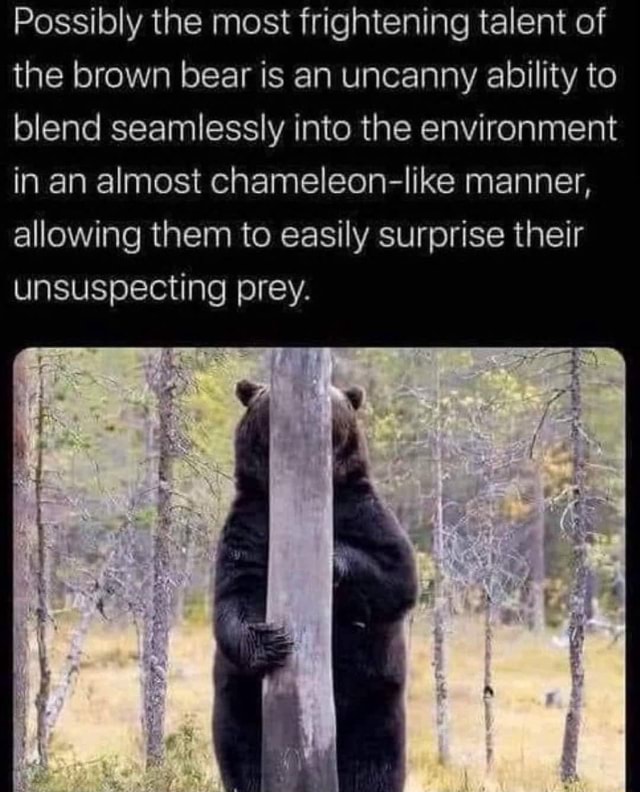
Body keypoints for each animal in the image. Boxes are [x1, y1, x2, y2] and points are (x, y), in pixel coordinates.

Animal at [213, 379, 418, 792]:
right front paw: (271, 640)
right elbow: (235, 593)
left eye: (333, 396)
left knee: (374, 762)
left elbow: (396, 573)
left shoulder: (363, 511)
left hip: (375, 702)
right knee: (241, 755)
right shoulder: (251, 523)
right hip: (238, 703)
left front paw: (333, 558)